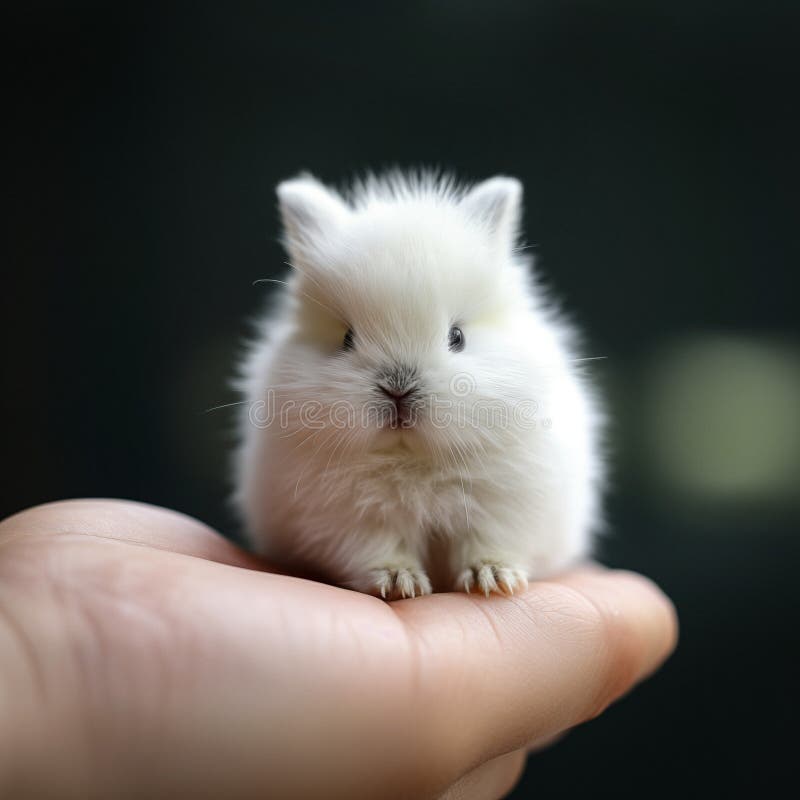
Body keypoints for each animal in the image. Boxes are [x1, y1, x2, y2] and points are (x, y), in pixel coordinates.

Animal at [233, 171, 604, 599]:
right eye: (346, 338)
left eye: (457, 336)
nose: (398, 389)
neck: (411, 460)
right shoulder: (348, 520)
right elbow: (376, 548)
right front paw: (399, 583)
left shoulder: (504, 507)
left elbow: (488, 541)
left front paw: (493, 579)